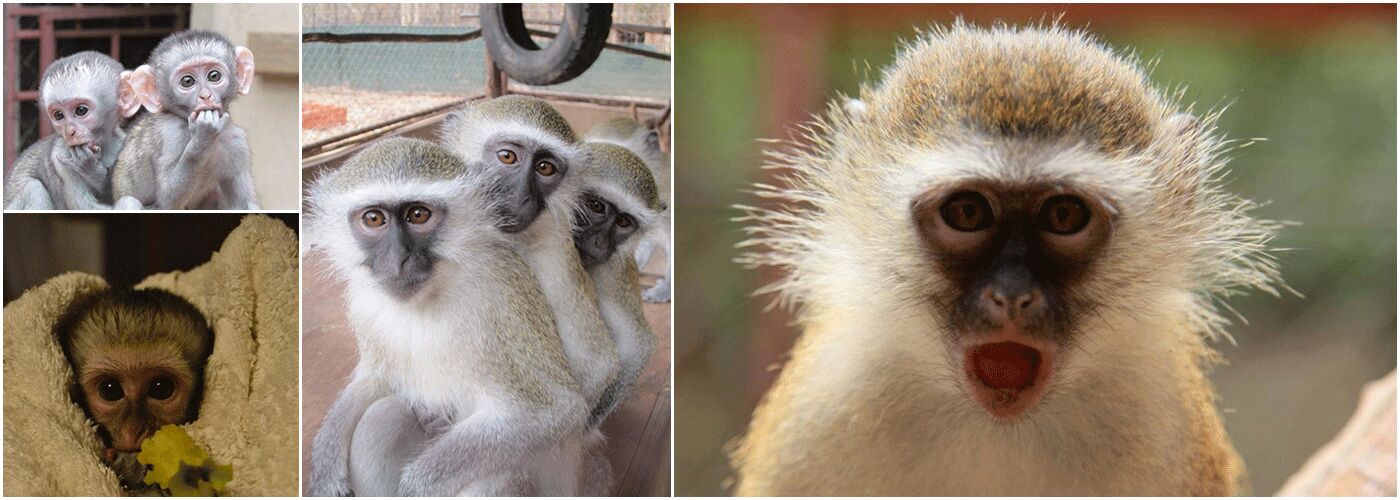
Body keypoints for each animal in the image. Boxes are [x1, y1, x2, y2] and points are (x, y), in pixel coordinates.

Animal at [4, 51, 130, 210]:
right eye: (59, 115)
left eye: (81, 110)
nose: (69, 132)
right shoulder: (60, 152)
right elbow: (83, 206)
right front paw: (91, 168)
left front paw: (92, 169)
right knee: (34, 187)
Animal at [110, 30, 258, 210]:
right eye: (187, 81)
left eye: (214, 76)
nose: (205, 96)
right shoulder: (171, 132)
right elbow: (169, 198)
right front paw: (203, 137)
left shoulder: (237, 142)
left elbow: (245, 205)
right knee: (129, 202)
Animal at [305, 137, 588, 496]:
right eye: (373, 219)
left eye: (418, 215)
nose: (397, 259)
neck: (428, 296)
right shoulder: (363, 304)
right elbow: (373, 379)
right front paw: (325, 462)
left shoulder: (501, 295)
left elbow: (556, 410)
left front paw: (417, 487)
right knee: (381, 420)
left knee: (494, 478)